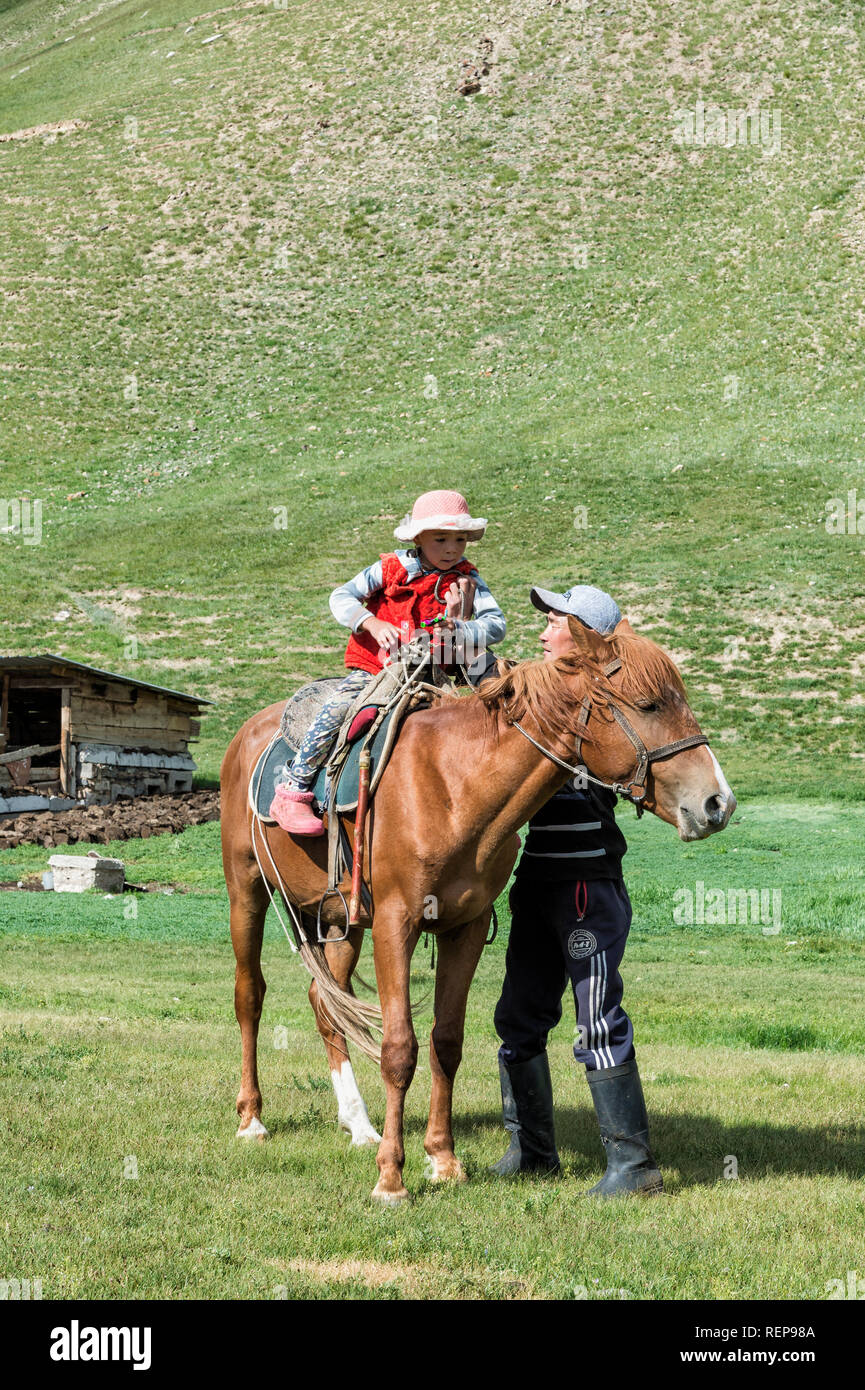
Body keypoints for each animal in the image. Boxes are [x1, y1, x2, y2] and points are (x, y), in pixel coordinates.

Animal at [220, 615, 735, 1203]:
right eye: (648, 705)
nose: (717, 802)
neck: (453, 784)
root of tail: (249, 733)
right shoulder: (395, 924)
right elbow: (399, 1049)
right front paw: (391, 1178)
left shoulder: (463, 928)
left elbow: (446, 1042)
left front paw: (442, 1160)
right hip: (247, 894)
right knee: (250, 996)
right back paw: (252, 1119)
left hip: (338, 919)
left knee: (327, 1005)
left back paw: (358, 1123)